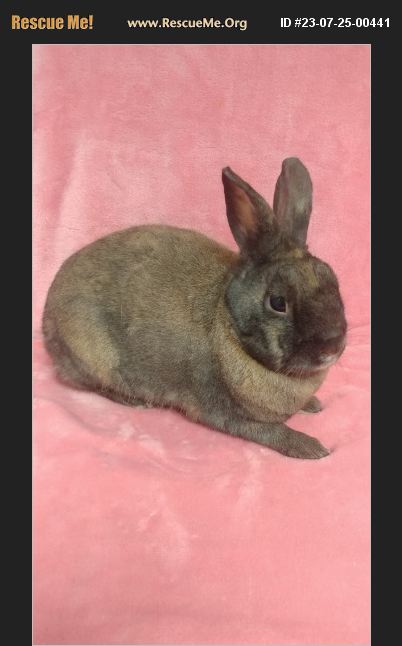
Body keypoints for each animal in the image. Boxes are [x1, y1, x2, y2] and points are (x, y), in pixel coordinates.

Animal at [42, 157, 346, 459]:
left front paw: (314, 404)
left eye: (332, 278)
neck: (230, 321)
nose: (333, 346)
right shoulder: (226, 414)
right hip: (92, 355)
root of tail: (46, 320)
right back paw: (134, 401)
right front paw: (313, 448)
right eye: (278, 303)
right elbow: (273, 432)